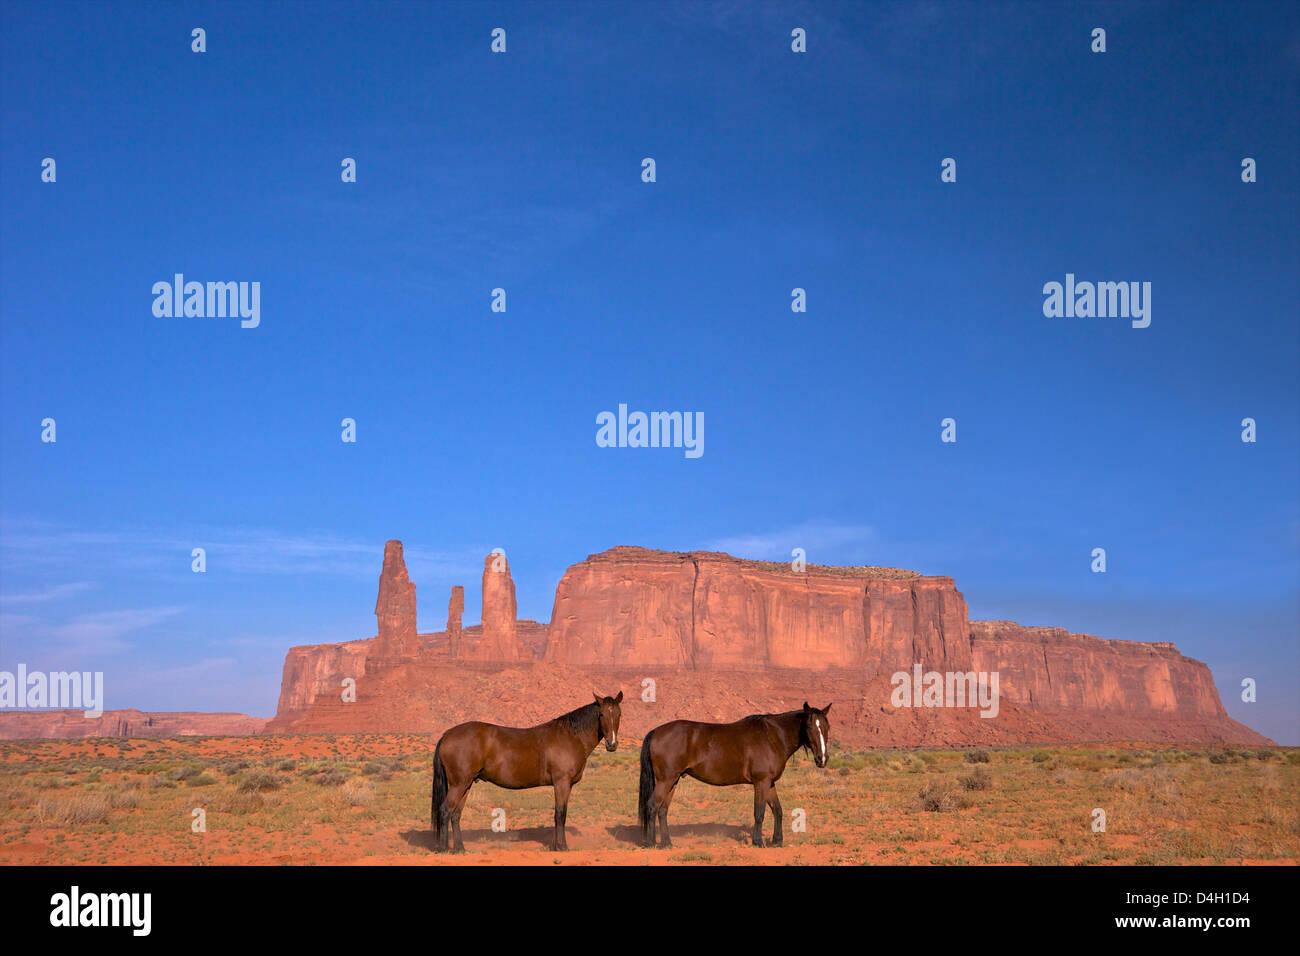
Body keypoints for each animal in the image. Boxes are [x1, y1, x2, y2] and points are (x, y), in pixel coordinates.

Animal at [430, 691, 623, 852]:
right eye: (602, 714)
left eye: (619, 714)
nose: (612, 744)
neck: (570, 736)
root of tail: (447, 734)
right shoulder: (561, 783)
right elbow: (560, 814)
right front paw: (561, 847)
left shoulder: (566, 785)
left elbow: (561, 814)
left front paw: (557, 845)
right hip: (459, 784)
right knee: (445, 810)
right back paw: (443, 849)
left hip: (466, 784)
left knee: (456, 814)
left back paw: (460, 849)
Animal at [638, 701, 831, 848]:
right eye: (809, 726)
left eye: (827, 727)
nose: (822, 759)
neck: (772, 736)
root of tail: (655, 732)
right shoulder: (761, 782)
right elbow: (759, 812)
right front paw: (758, 841)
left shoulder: (770, 783)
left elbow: (777, 810)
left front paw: (777, 841)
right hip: (665, 780)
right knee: (652, 805)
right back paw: (651, 843)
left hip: (673, 780)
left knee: (663, 810)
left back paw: (667, 843)